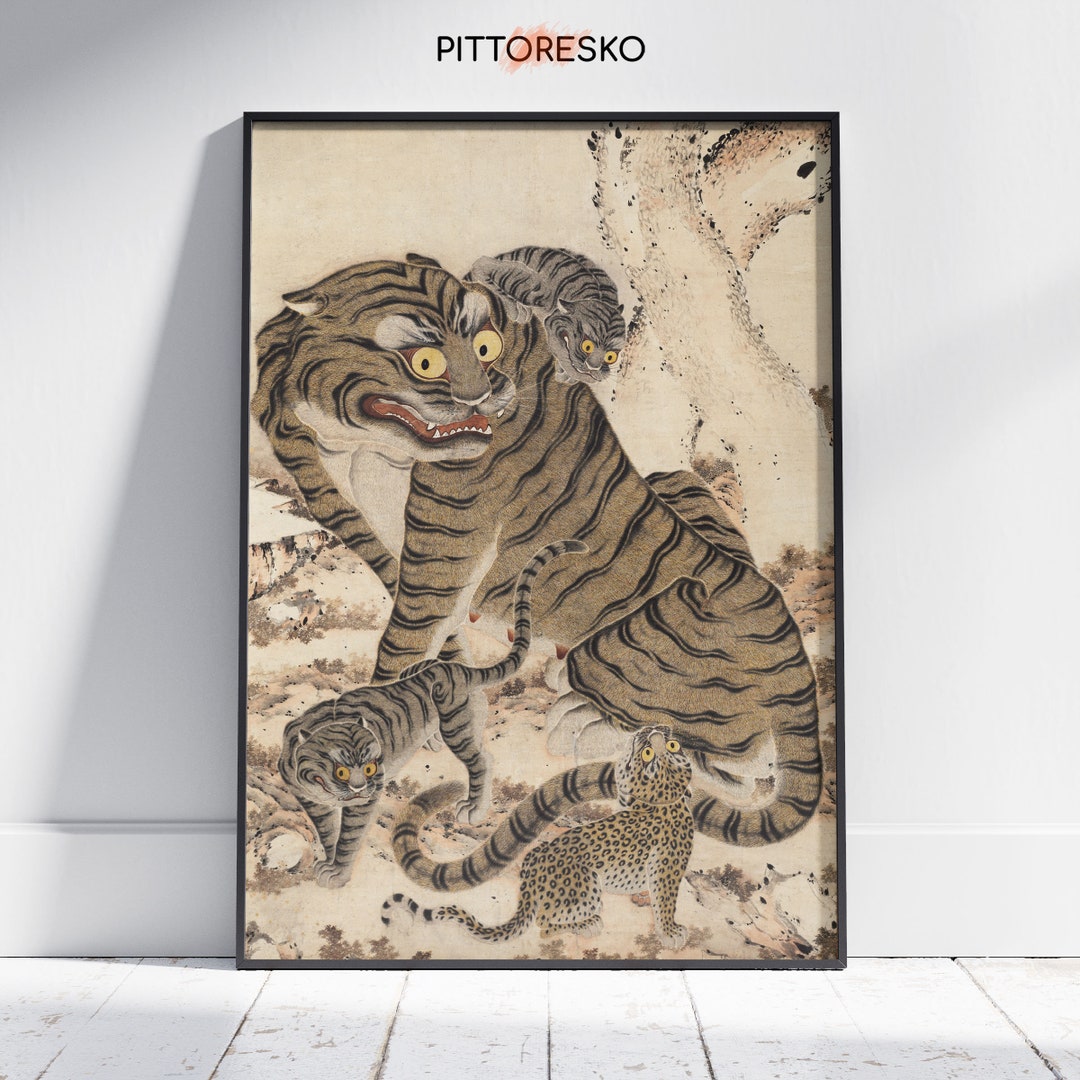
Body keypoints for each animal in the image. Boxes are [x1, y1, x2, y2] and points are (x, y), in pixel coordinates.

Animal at [382, 727, 695, 948]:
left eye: (672, 746)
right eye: (648, 752)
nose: (655, 730)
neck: (665, 800)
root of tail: (533, 865)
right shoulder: (665, 870)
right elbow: (665, 901)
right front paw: (671, 932)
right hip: (587, 888)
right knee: (544, 923)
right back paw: (586, 924)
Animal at [466, 246, 625, 384]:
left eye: (611, 356)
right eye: (587, 346)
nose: (594, 367)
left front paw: (568, 375)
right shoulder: (539, 289)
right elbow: (483, 264)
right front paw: (516, 307)